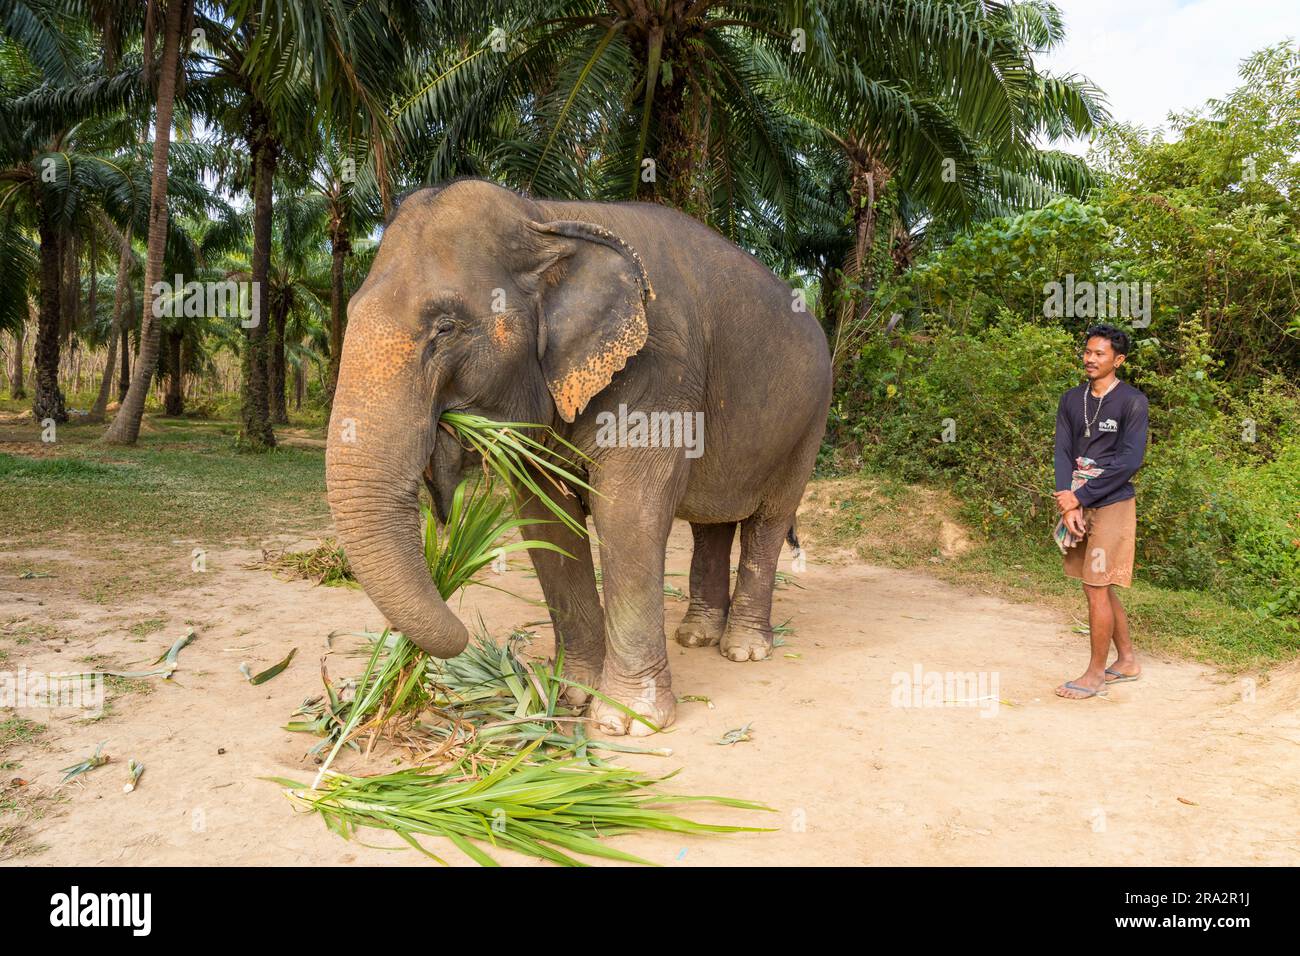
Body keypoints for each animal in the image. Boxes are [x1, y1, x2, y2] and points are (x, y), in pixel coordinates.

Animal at [325, 178, 831, 735]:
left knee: (769, 518)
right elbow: (547, 521)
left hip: (810, 420)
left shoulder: (660, 369)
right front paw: (572, 696)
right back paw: (696, 637)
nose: (466, 639)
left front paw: (626, 723)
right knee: (711, 522)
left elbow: (626, 513)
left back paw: (743, 649)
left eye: (446, 327)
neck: (546, 216)